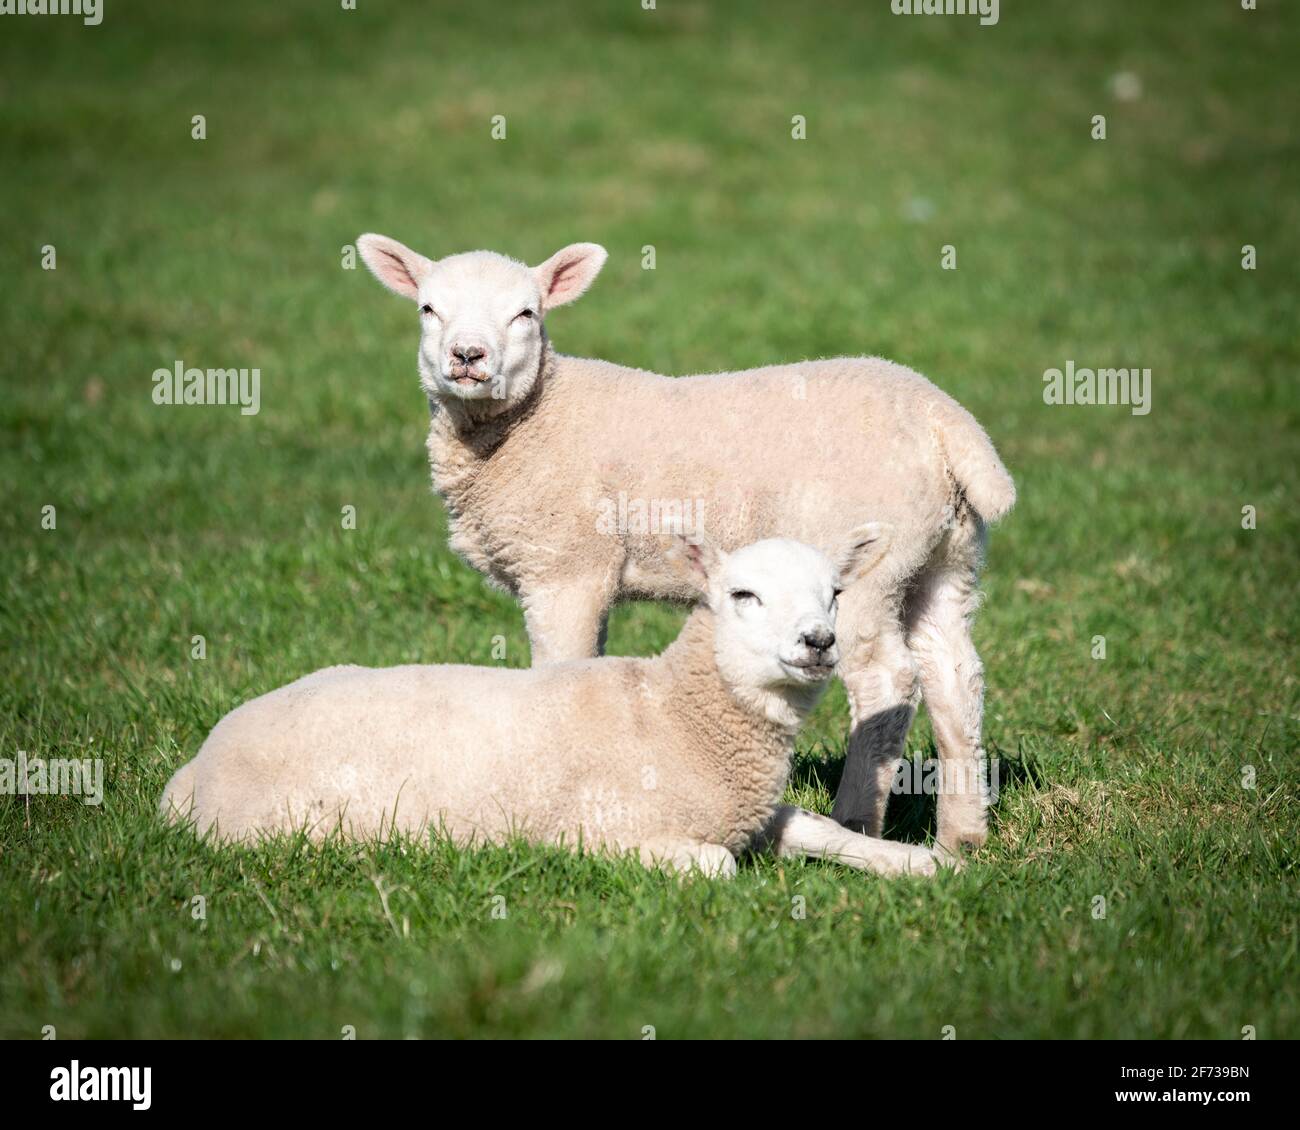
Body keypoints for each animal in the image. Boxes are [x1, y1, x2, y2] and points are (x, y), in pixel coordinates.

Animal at [161, 530, 946, 878]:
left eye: (836, 593)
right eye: (741, 595)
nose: (819, 641)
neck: (674, 712)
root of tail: (193, 770)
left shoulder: (744, 810)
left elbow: (824, 829)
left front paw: (922, 865)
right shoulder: (603, 829)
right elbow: (719, 867)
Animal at [356, 234, 1015, 854]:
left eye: (526, 313)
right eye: (428, 308)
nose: (467, 355)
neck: (529, 421)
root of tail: (944, 420)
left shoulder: (564, 566)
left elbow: (560, 664)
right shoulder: (589, 570)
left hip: (866, 560)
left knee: (885, 677)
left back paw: (859, 818)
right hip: (944, 557)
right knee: (955, 674)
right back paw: (961, 836)